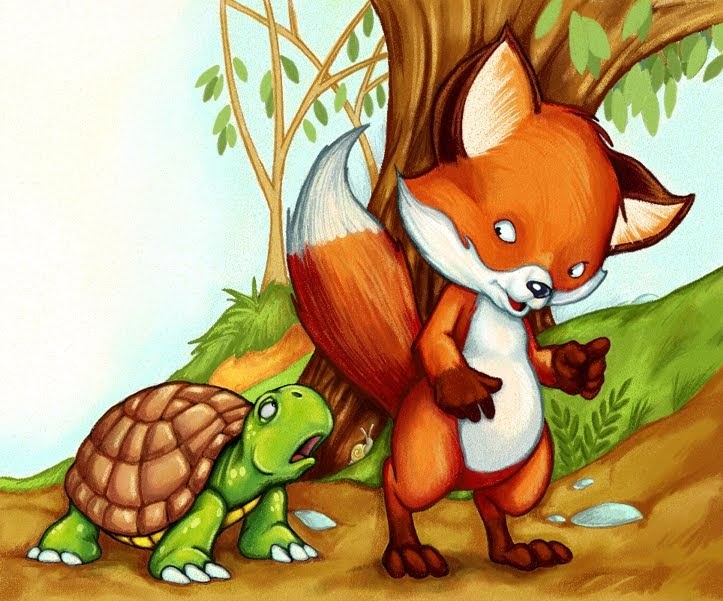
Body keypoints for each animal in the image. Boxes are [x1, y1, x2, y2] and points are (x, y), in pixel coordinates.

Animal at [287, 28, 694, 579]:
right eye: (504, 232)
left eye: (576, 270)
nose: (540, 289)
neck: (503, 317)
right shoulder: (457, 303)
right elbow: (432, 340)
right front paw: (463, 384)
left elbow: (542, 364)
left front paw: (579, 368)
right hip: (432, 458)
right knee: (396, 480)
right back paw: (407, 551)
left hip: (532, 469)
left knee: (494, 505)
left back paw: (515, 551)